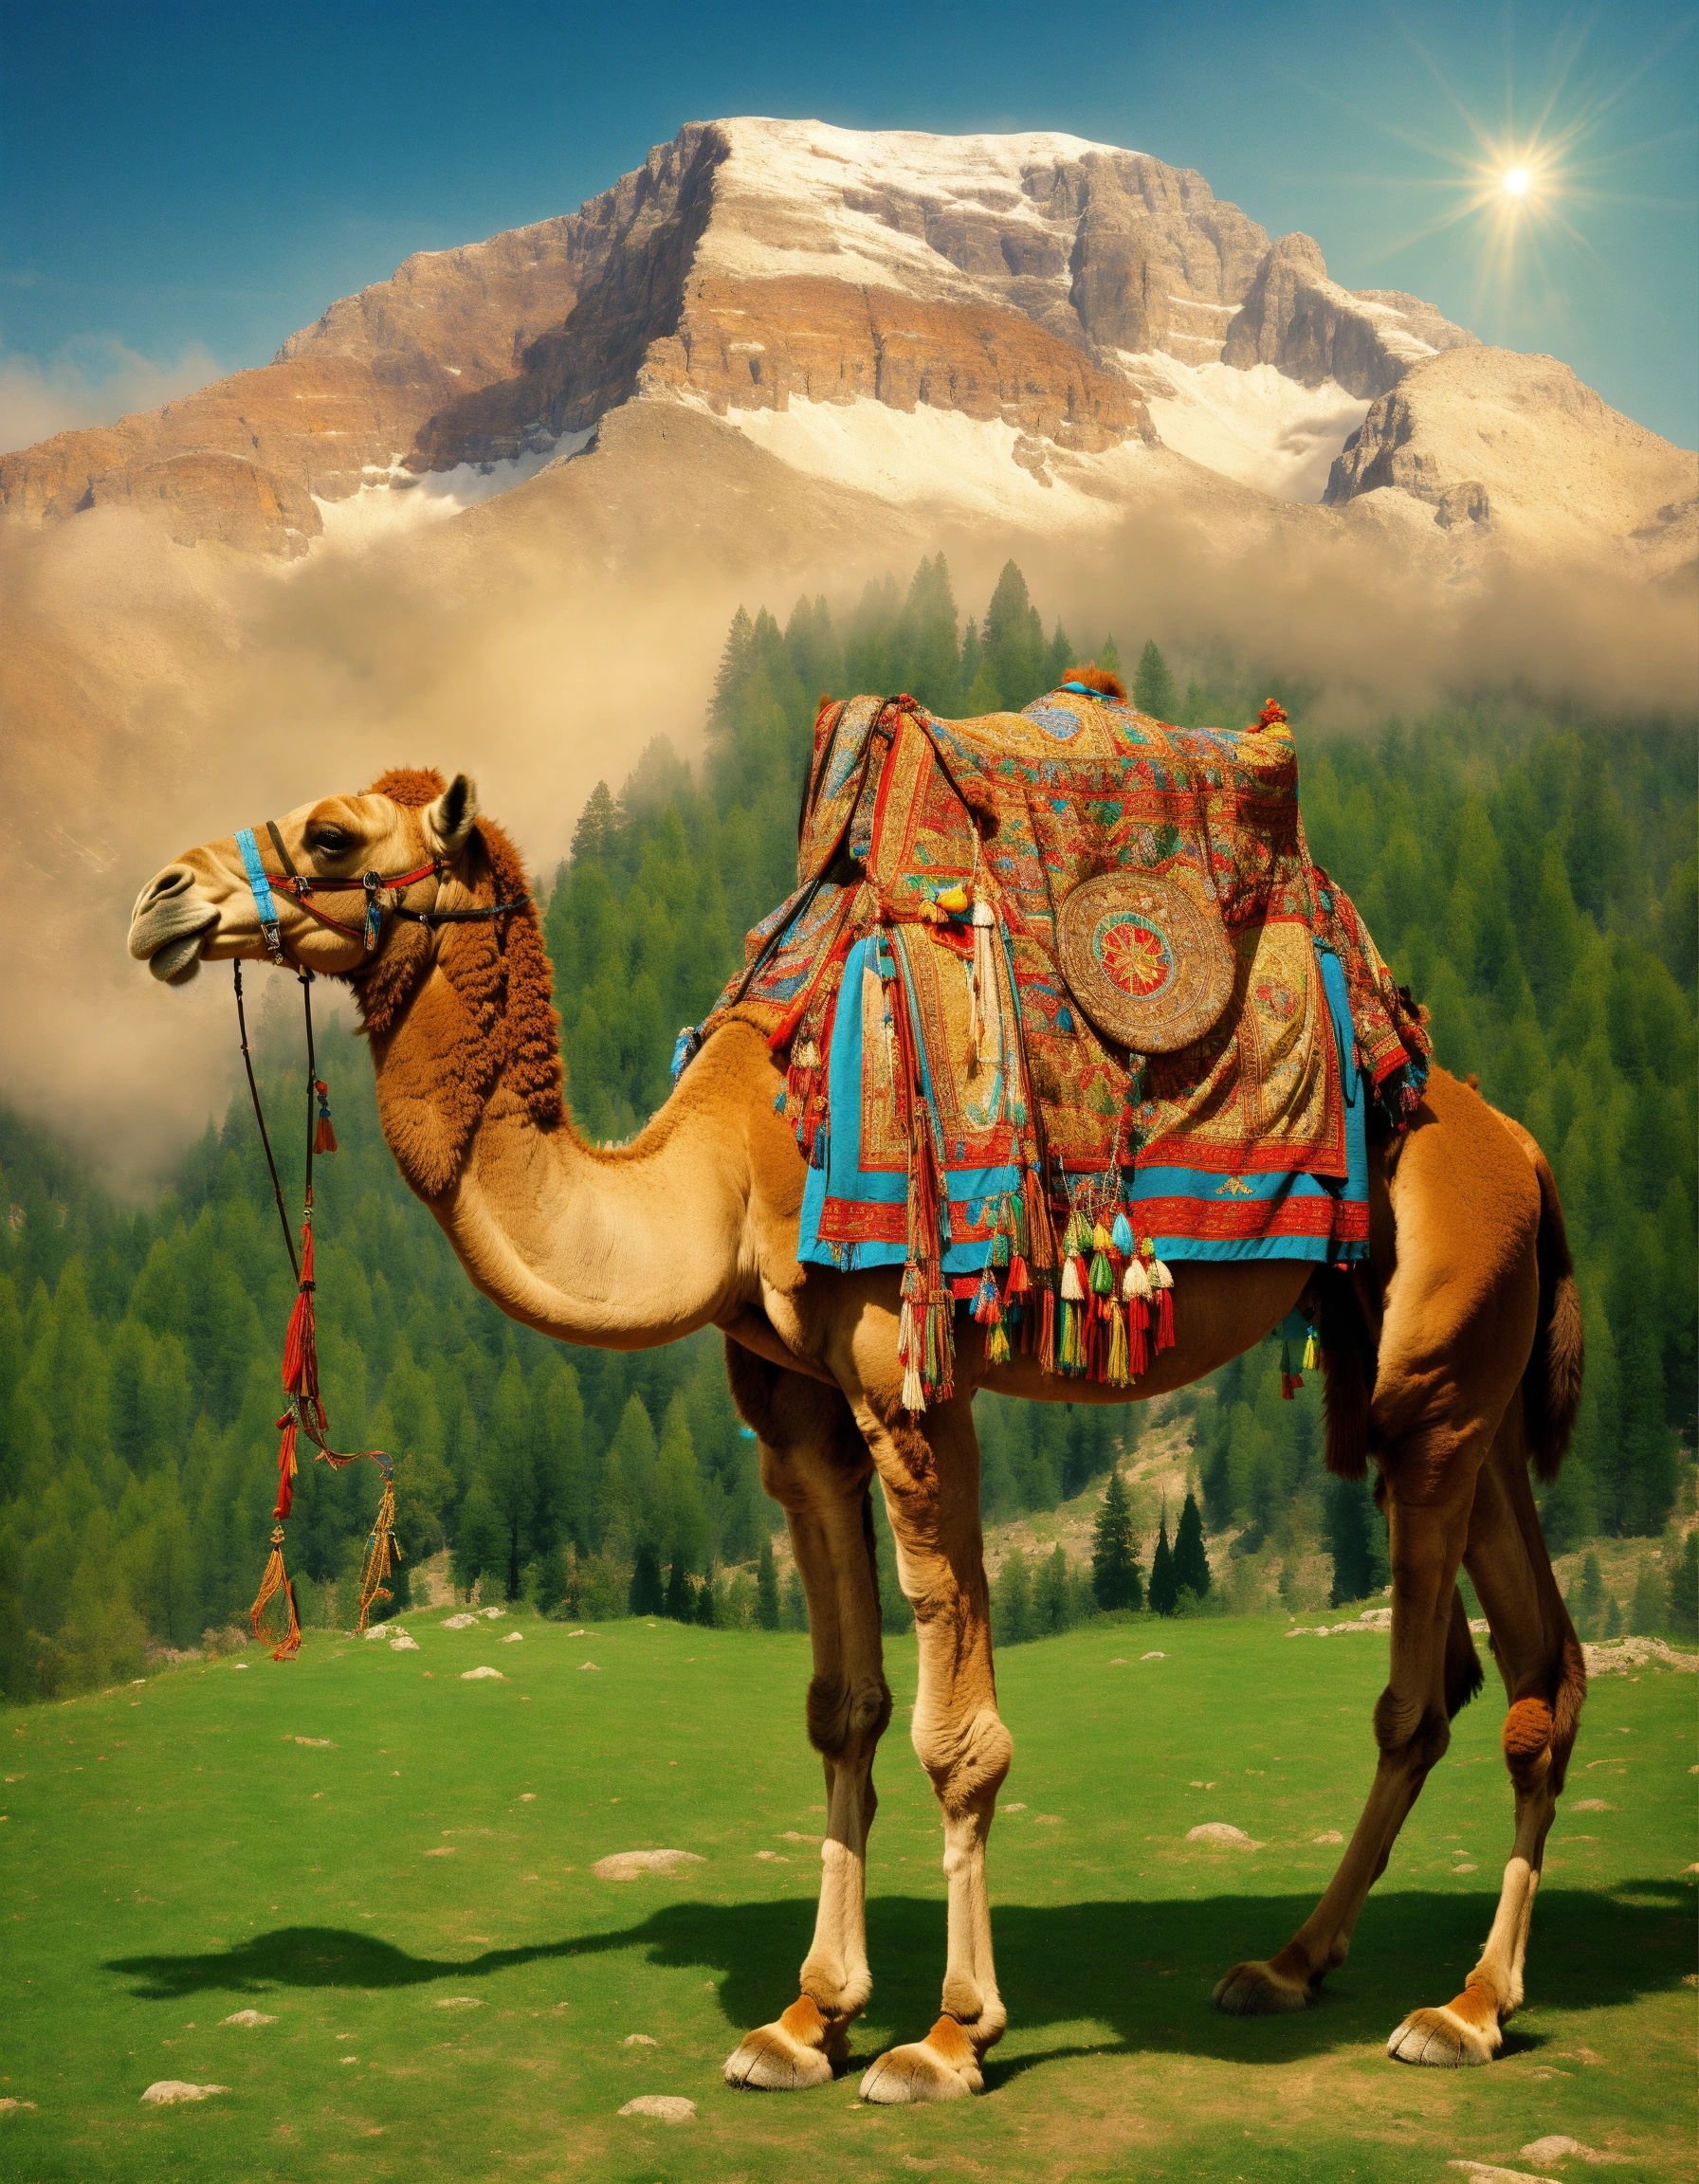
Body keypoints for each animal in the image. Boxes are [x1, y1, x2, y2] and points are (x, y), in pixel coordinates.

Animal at [128, 758, 1586, 2100]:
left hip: (1434, 1379)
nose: (162, 897)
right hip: (1460, 1382)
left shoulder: (913, 1394)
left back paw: (1453, 2009)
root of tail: (1522, 1149)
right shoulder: (801, 1424)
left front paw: (946, 2037)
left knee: (1423, 1697)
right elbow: (843, 1711)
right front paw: (806, 2020)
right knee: (1542, 1670)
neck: (720, 1179)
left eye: (331, 834)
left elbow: (958, 1738)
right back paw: (1324, 1970)